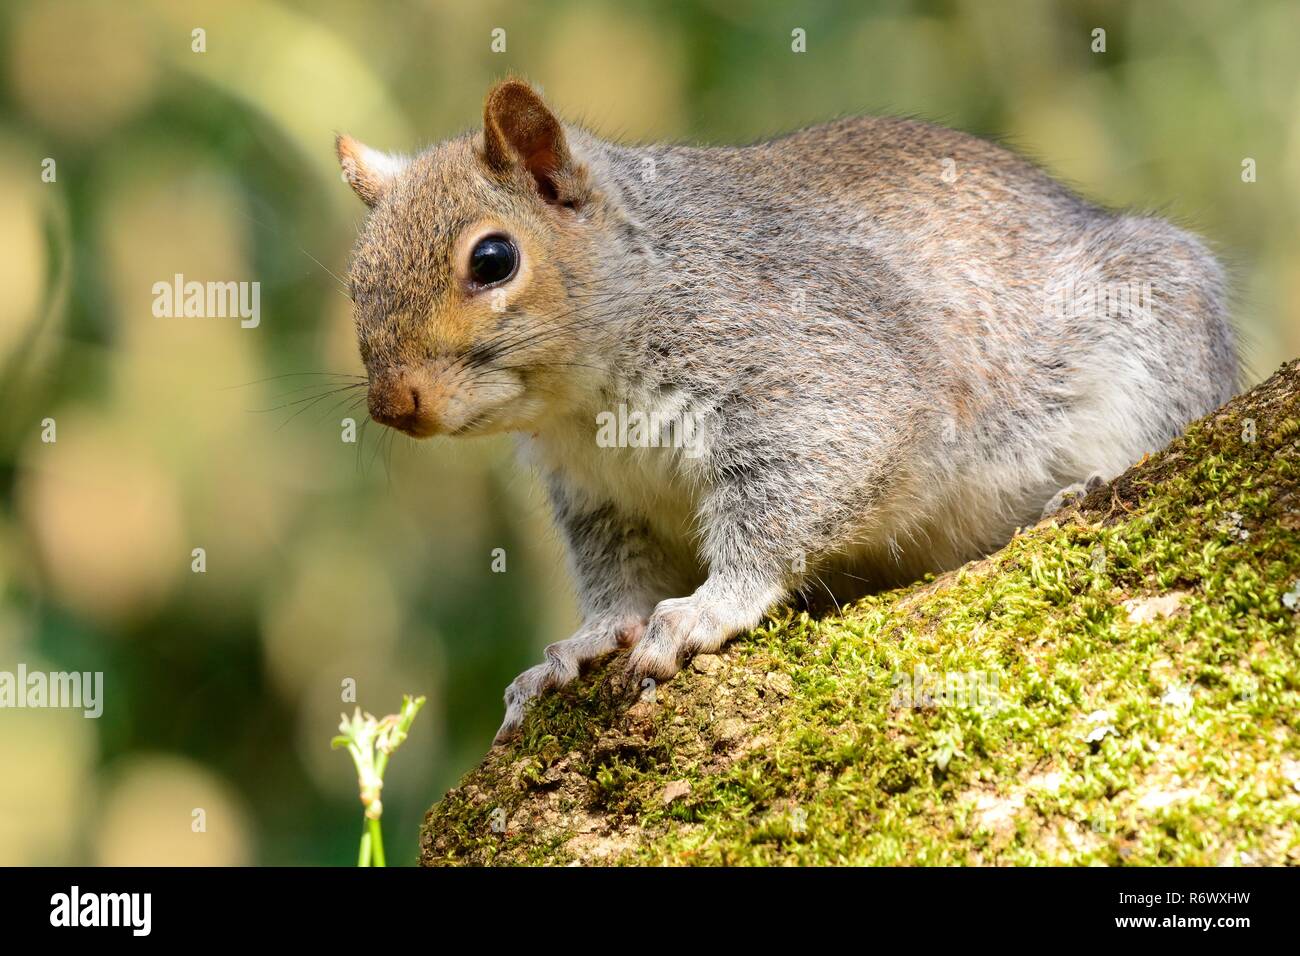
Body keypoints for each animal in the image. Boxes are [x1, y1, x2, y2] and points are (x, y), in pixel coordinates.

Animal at [336, 79, 1239, 743]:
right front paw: (587, 642)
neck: (584, 401)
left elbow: (792, 498)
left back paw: (1081, 489)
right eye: (354, 281)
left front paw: (707, 610)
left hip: (1156, 329)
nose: (392, 404)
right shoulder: (602, 499)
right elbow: (620, 581)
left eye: (494, 259)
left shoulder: (807, 373)